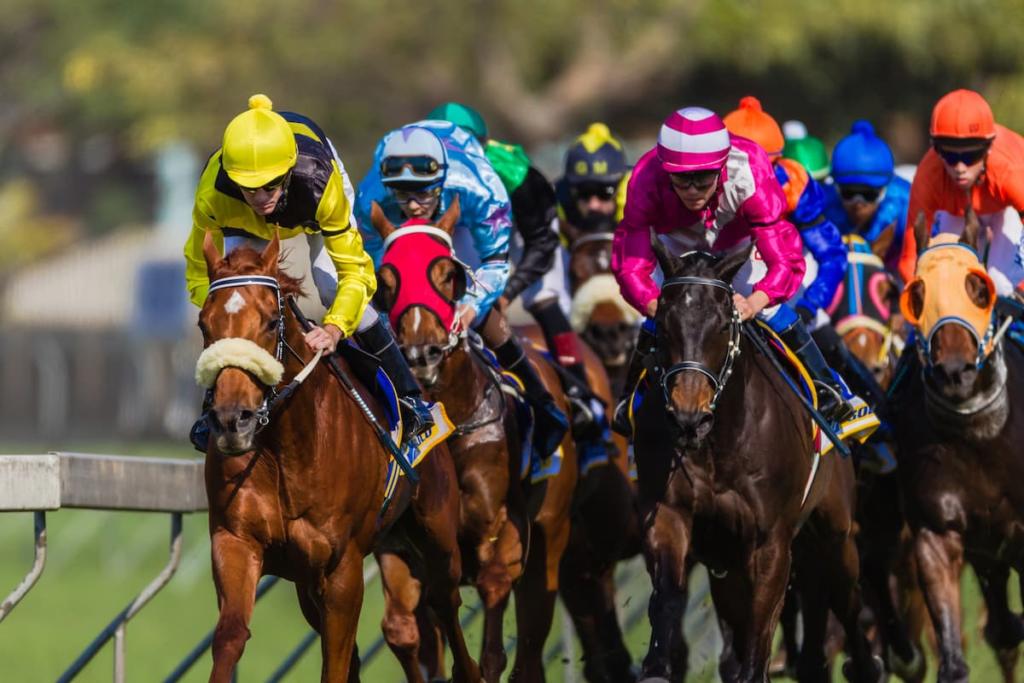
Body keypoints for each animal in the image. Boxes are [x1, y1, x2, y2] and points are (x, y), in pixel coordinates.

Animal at [195, 233, 476, 682]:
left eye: (269, 322)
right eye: (204, 325)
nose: (230, 420)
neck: (285, 449)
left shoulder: (343, 569)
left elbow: (336, 661)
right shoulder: (236, 541)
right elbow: (230, 637)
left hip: (437, 537)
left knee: (448, 609)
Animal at [368, 200, 578, 682]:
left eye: (448, 274)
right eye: (386, 281)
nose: (421, 354)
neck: (453, 429)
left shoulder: (504, 538)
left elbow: (493, 639)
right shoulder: (398, 546)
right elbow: (401, 629)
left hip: (551, 535)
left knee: (530, 647)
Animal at [632, 240, 882, 683]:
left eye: (721, 326)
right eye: (662, 325)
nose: (688, 416)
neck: (717, 443)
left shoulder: (770, 541)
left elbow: (762, 629)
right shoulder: (670, 514)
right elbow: (667, 596)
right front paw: (658, 667)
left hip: (835, 531)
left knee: (847, 600)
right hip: (727, 558)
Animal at [892, 207, 1024, 683]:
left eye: (978, 289)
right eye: (917, 295)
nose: (955, 372)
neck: (980, 438)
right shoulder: (937, 532)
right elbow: (954, 657)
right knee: (1003, 628)